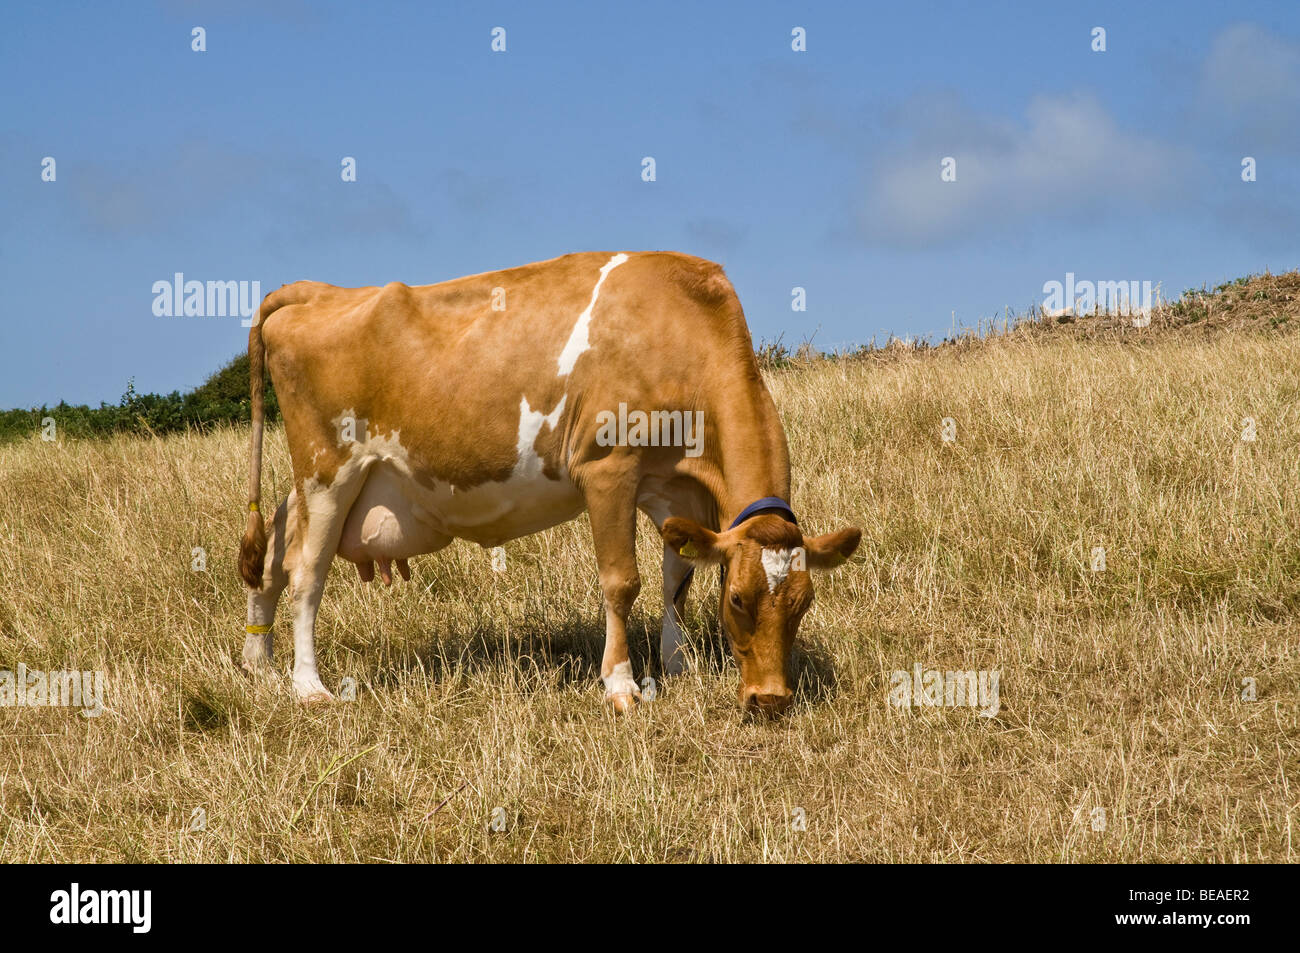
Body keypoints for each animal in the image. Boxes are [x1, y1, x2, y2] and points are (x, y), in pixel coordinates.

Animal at [238, 251, 860, 715]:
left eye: (805, 602)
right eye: (737, 598)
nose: (770, 699)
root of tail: (318, 291)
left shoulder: (677, 489)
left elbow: (676, 579)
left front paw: (677, 666)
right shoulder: (608, 468)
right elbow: (622, 582)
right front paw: (621, 686)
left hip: (323, 480)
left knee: (271, 554)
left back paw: (259, 665)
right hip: (328, 469)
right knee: (307, 571)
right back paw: (308, 686)